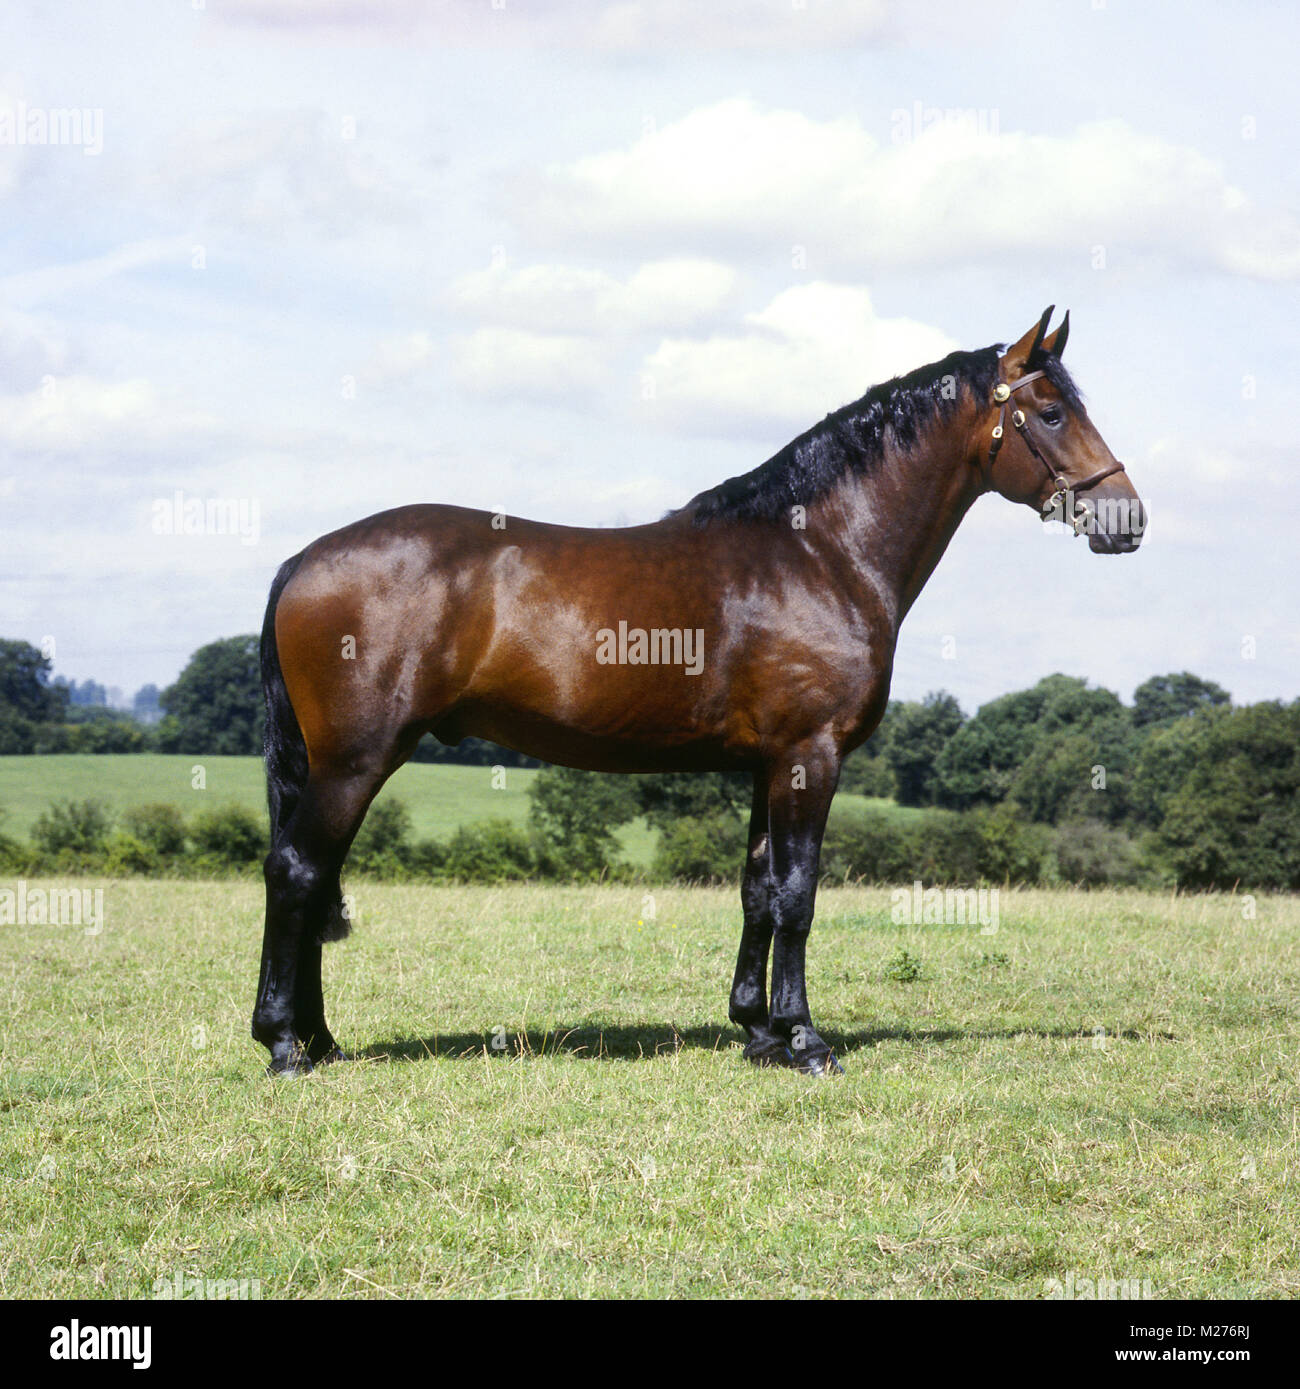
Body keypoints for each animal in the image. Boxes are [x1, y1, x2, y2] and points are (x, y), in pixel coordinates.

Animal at [251, 306, 1144, 1077]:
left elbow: (757, 891)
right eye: (1051, 411)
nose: (1125, 517)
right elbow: (797, 895)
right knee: (297, 869)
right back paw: (286, 1044)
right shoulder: (810, 756)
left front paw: (757, 1028)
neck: (819, 552)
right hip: (356, 761)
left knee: (314, 876)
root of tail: (301, 560)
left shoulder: (767, 762)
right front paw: (806, 1040)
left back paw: (320, 1037)